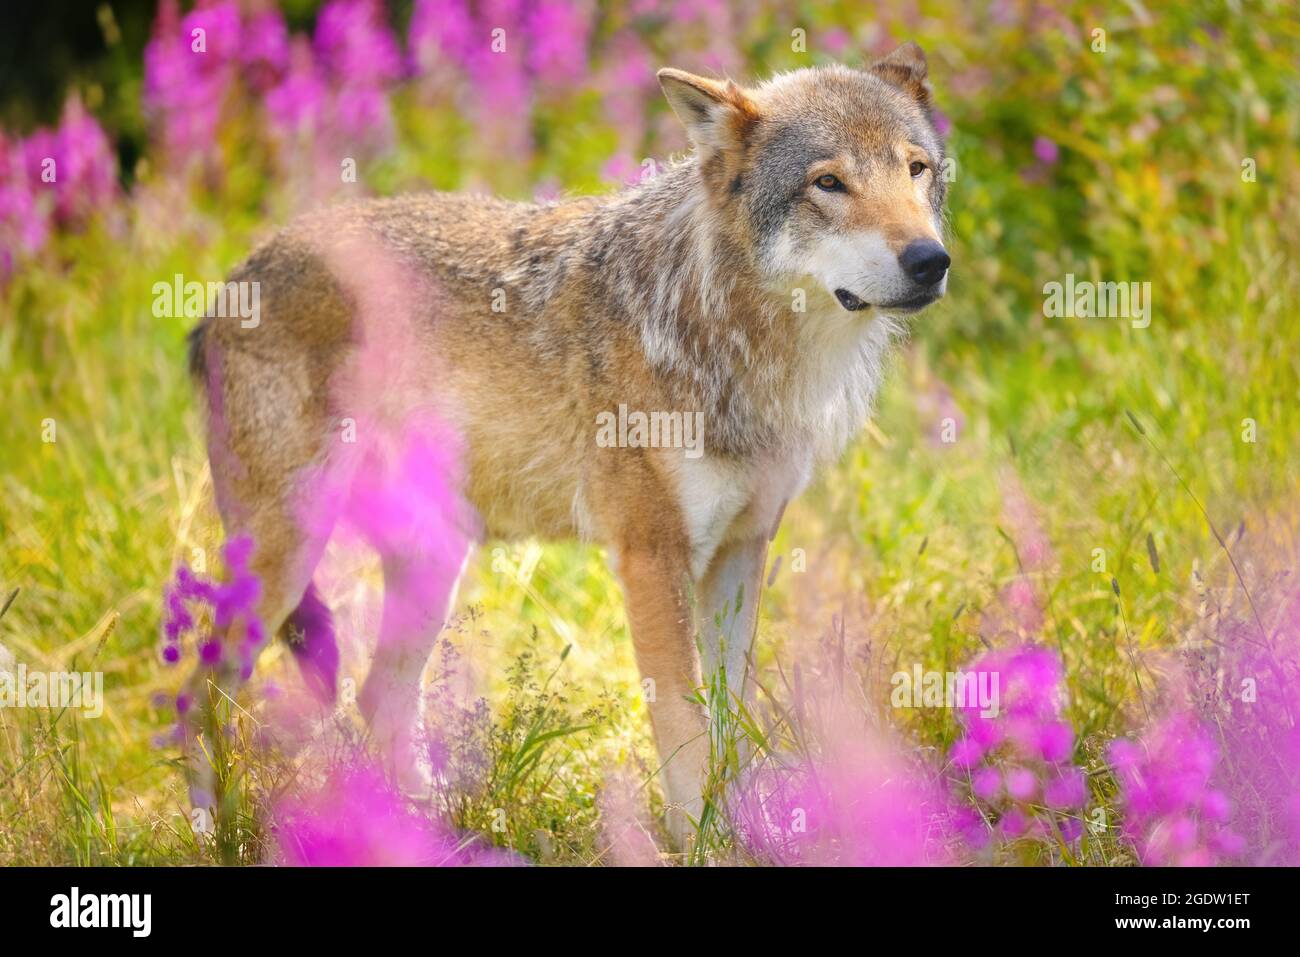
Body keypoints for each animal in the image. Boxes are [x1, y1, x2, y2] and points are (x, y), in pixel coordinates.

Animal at [183, 42, 950, 848]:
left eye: (915, 169)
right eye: (828, 183)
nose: (930, 260)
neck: (734, 337)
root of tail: (229, 282)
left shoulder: (743, 550)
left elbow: (731, 718)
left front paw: (752, 832)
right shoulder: (650, 555)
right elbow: (683, 725)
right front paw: (699, 841)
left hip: (434, 555)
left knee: (377, 695)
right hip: (286, 557)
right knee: (199, 691)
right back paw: (214, 835)